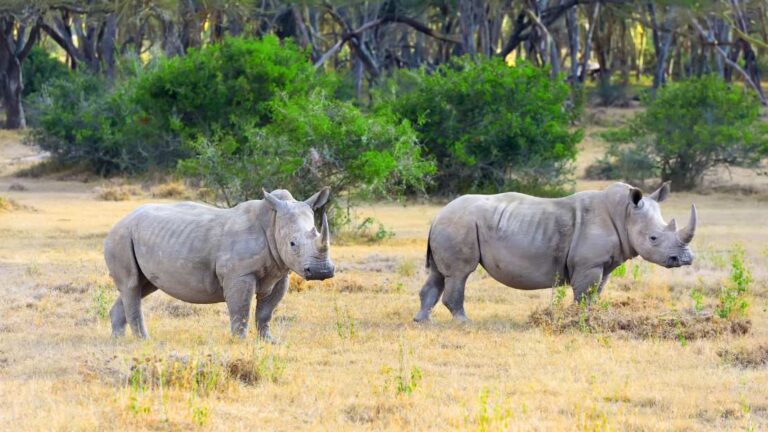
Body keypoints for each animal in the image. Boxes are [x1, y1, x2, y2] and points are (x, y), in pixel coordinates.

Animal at [104, 188, 334, 340]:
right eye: (292, 243)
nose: (321, 271)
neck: (272, 221)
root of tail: (120, 221)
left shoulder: (280, 272)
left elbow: (266, 312)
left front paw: (268, 342)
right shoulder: (240, 274)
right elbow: (241, 309)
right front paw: (240, 342)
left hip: (135, 236)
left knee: (141, 287)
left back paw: (118, 340)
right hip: (121, 237)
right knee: (131, 285)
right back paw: (143, 341)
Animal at [414, 182, 697, 322]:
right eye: (653, 238)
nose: (686, 259)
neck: (624, 213)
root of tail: (437, 215)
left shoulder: (603, 265)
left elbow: (596, 293)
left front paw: (591, 318)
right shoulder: (588, 264)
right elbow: (584, 294)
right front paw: (579, 321)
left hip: (451, 224)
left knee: (439, 274)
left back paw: (423, 321)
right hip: (459, 224)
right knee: (460, 274)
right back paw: (464, 322)